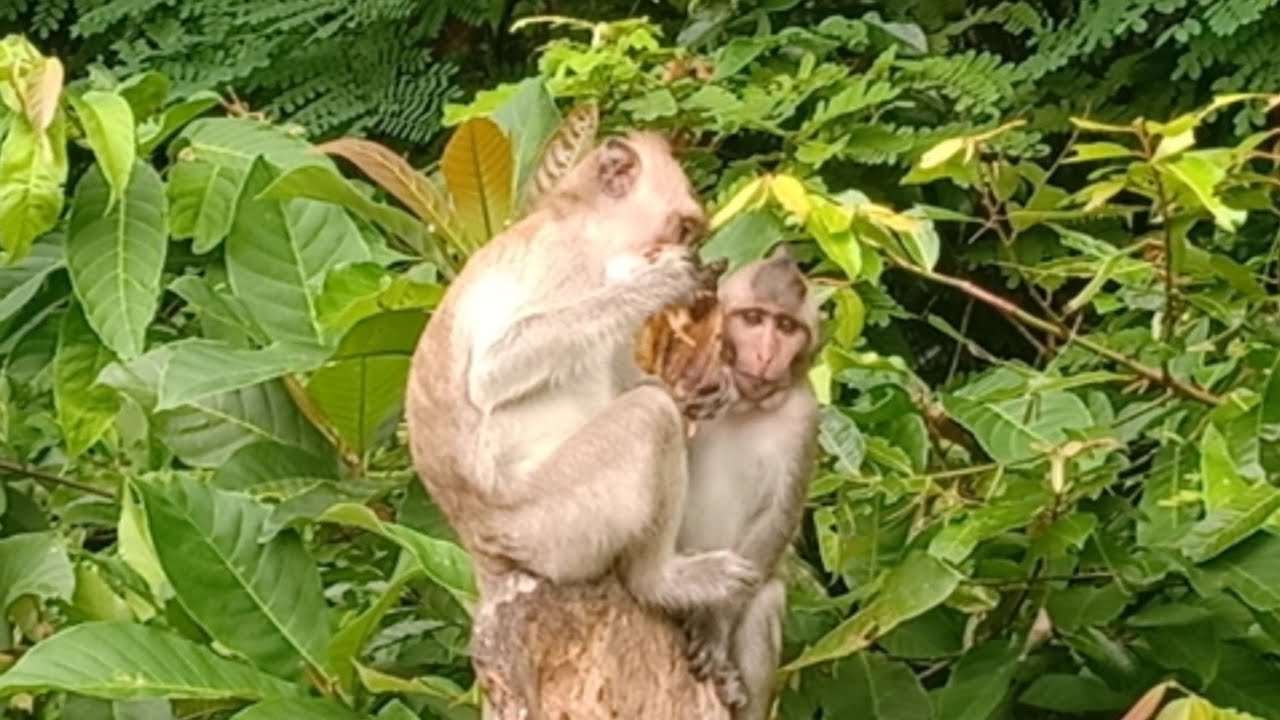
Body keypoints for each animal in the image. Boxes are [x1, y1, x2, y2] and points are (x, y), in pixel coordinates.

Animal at [404, 131, 760, 623]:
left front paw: (708, 389)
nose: (700, 255)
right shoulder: (560, 258)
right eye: (684, 230)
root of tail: (484, 550)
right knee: (651, 414)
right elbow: (494, 369)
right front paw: (657, 283)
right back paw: (658, 581)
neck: (587, 231)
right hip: (554, 528)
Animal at [675, 247, 821, 720]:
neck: (746, 406)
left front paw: (714, 627)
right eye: (754, 319)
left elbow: (777, 517)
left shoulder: (805, 417)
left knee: (767, 597)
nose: (766, 353)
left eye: (787, 327)